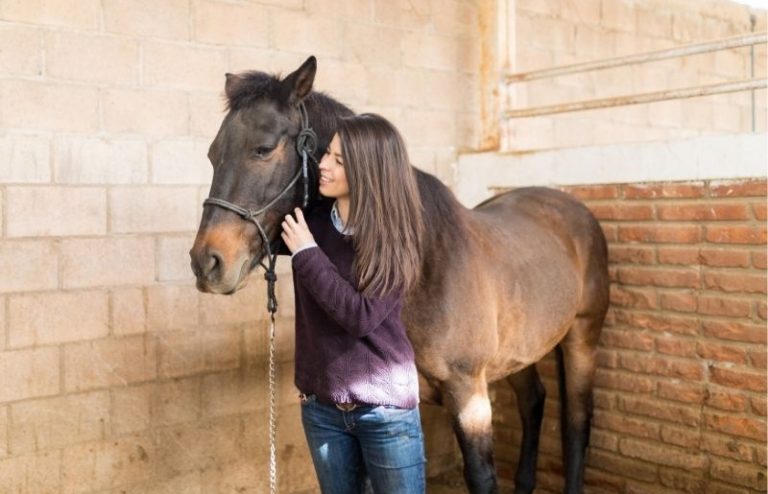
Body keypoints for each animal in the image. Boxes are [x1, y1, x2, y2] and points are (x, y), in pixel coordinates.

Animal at [189, 56, 609, 494]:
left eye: (264, 149)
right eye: (213, 155)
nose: (207, 262)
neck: (427, 267)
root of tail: (569, 205)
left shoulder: (469, 394)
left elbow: (481, 475)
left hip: (583, 336)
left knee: (577, 422)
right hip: (520, 351)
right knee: (533, 403)